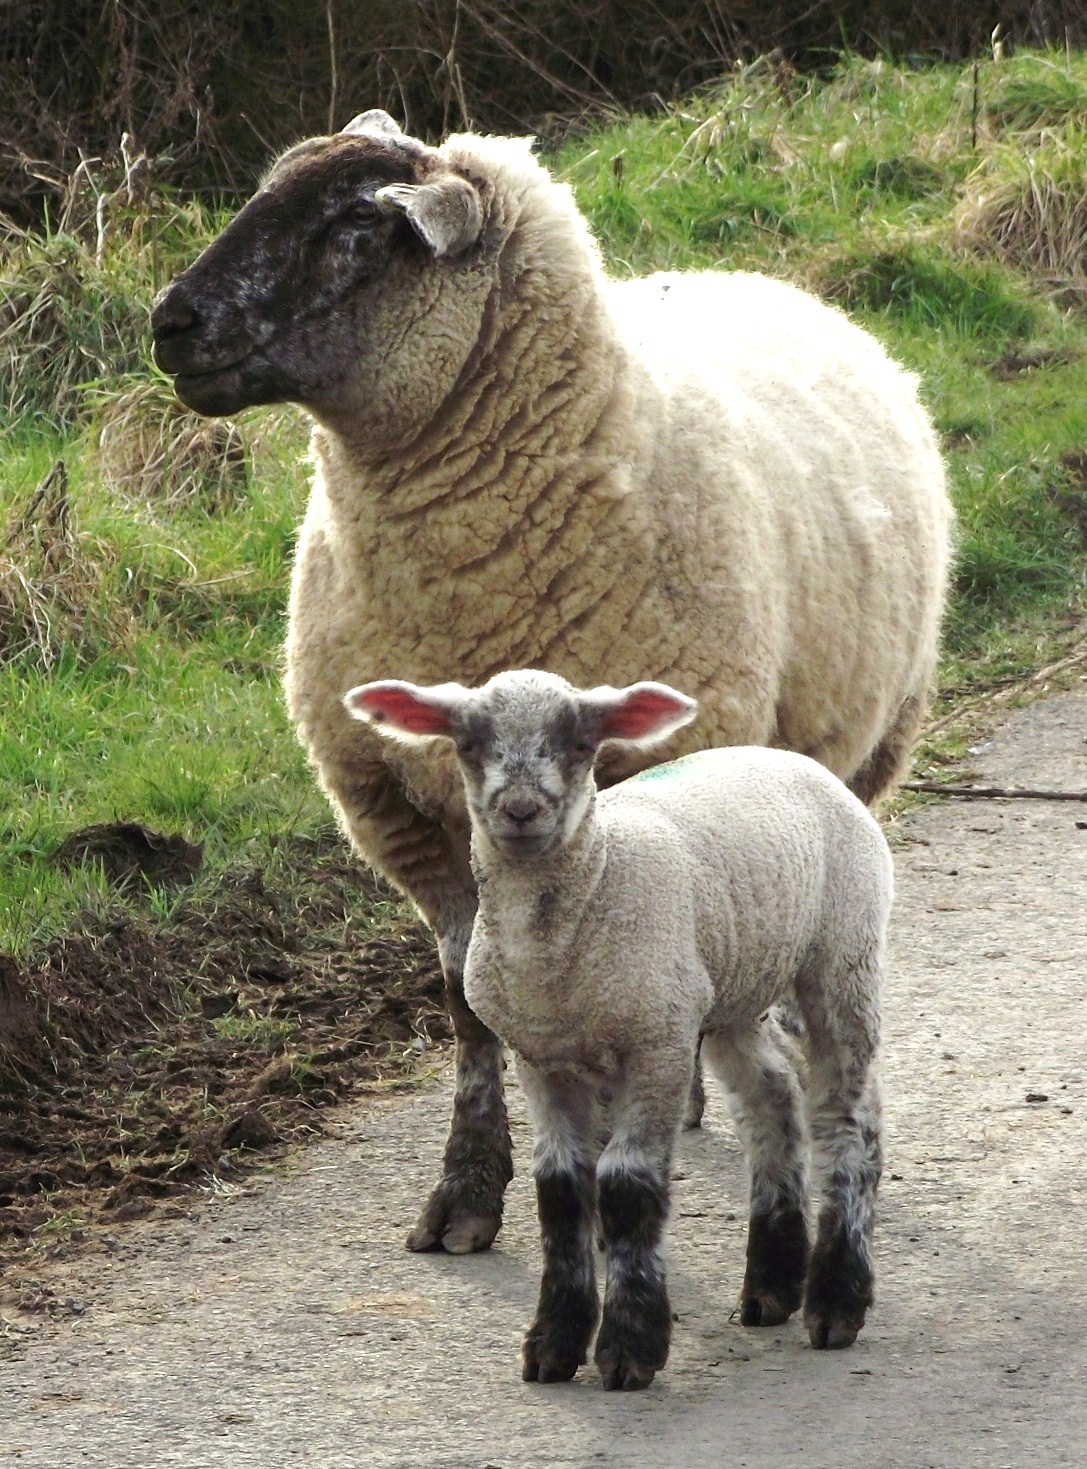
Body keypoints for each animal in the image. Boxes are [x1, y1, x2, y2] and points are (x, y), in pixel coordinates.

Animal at [150, 109, 950, 1258]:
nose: (171, 322)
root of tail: (768, 281)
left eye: (359, 226)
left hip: (865, 747)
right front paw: (465, 1193)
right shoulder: (406, 816)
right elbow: (468, 1006)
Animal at [344, 668, 892, 1390]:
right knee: (773, 1095)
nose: (520, 809)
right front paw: (553, 1343)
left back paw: (836, 1298)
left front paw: (629, 1346)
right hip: (726, 987)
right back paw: (771, 1286)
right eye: (467, 742)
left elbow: (627, 1186)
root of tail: (787, 757)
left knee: (846, 1117)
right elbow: (561, 1191)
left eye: (580, 742)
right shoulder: (541, 1056)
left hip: (841, 956)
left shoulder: (656, 1044)